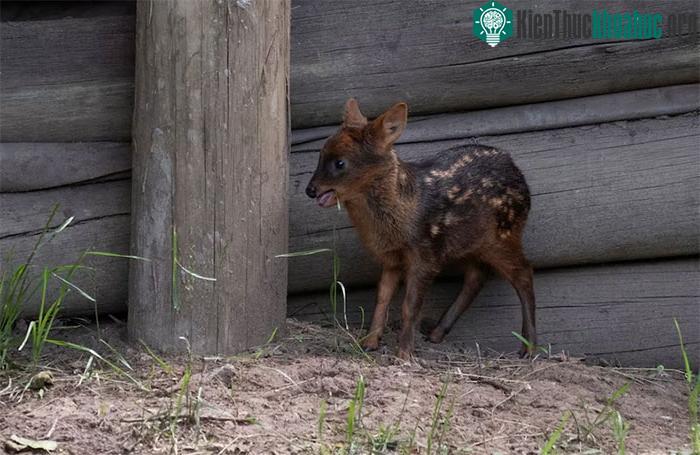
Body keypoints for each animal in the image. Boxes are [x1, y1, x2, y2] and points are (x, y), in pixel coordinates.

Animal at [304, 99, 536, 360]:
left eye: (340, 163)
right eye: (320, 154)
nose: (310, 190)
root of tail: (518, 172)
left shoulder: (425, 254)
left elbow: (410, 305)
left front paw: (404, 353)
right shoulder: (392, 258)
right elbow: (382, 298)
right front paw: (369, 342)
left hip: (504, 234)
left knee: (523, 273)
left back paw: (529, 348)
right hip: (473, 243)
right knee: (476, 276)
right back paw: (436, 333)